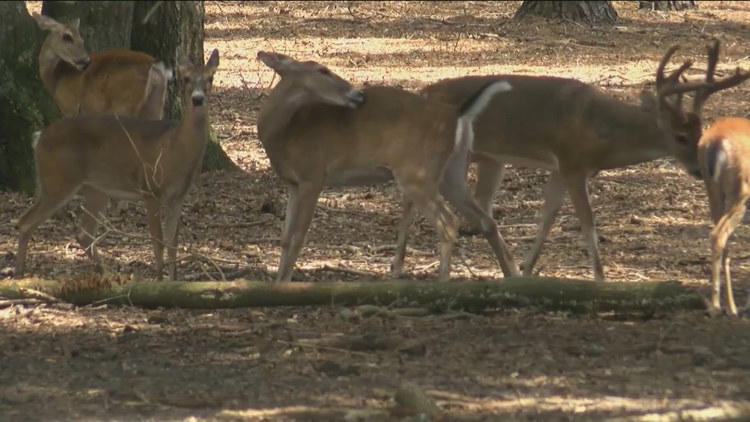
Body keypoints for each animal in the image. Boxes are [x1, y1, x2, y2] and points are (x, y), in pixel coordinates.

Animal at [14, 49, 220, 280]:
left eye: (210, 78)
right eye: (186, 79)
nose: (197, 99)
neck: (175, 148)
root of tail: (38, 138)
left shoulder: (178, 196)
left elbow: (172, 242)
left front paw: (174, 280)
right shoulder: (150, 189)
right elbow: (157, 241)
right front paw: (159, 278)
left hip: (95, 188)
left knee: (83, 232)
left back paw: (107, 272)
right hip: (58, 180)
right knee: (25, 221)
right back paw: (19, 271)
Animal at [256, 51, 519, 282]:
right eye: (322, 70)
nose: (359, 95)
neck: (285, 134)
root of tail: (455, 116)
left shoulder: (314, 176)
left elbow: (298, 237)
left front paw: (284, 283)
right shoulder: (293, 183)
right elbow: (285, 239)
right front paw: (277, 281)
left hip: (416, 172)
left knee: (449, 222)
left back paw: (442, 281)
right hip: (450, 172)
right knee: (486, 221)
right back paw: (511, 276)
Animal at [415, 40, 750, 282]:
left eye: (700, 132)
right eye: (680, 137)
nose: (698, 170)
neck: (600, 132)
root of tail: (423, 91)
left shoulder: (560, 169)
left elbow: (546, 218)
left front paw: (527, 269)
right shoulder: (572, 164)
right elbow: (588, 224)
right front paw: (600, 278)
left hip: (490, 159)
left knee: (482, 209)